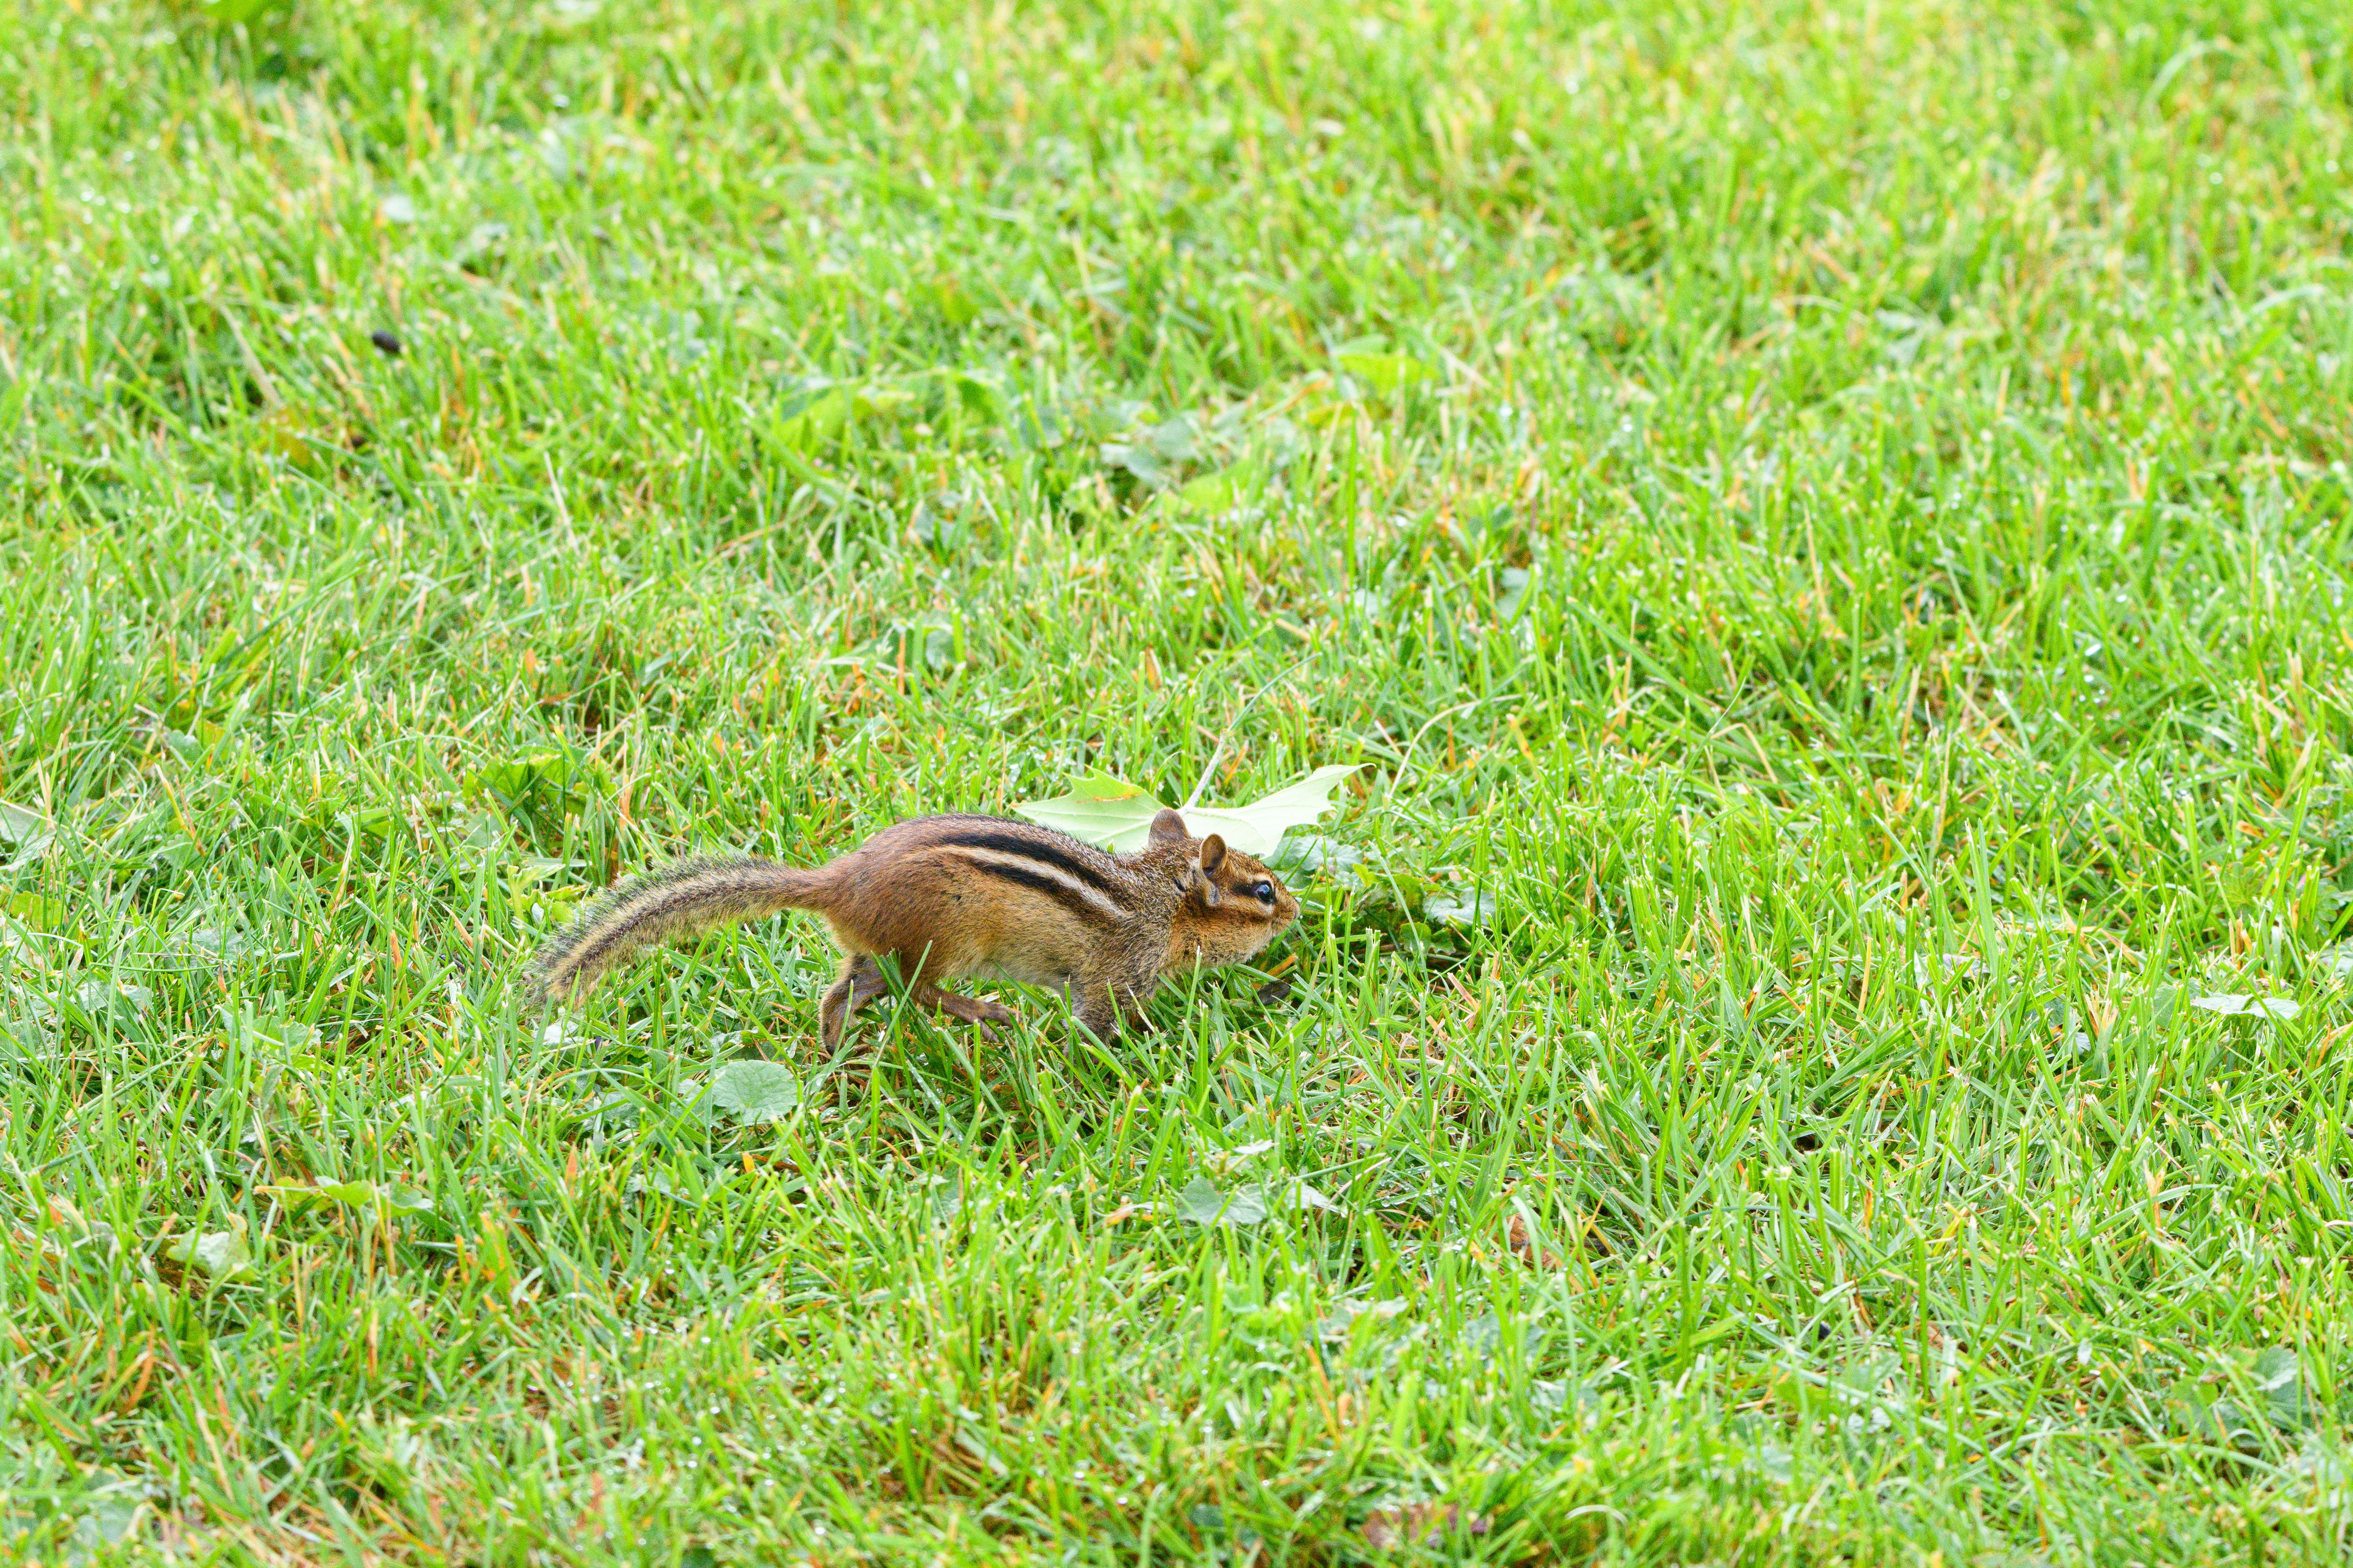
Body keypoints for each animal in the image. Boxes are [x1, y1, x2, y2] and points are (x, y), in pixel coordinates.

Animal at [529, 807, 1300, 1047]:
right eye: (1262, 891)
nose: (1297, 913)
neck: (1156, 901)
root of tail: (836, 882)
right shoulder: (1115, 975)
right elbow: (1096, 1024)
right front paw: (1137, 1053)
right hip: (943, 942)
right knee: (921, 995)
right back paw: (986, 1013)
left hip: (880, 953)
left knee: (841, 992)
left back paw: (835, 1053)